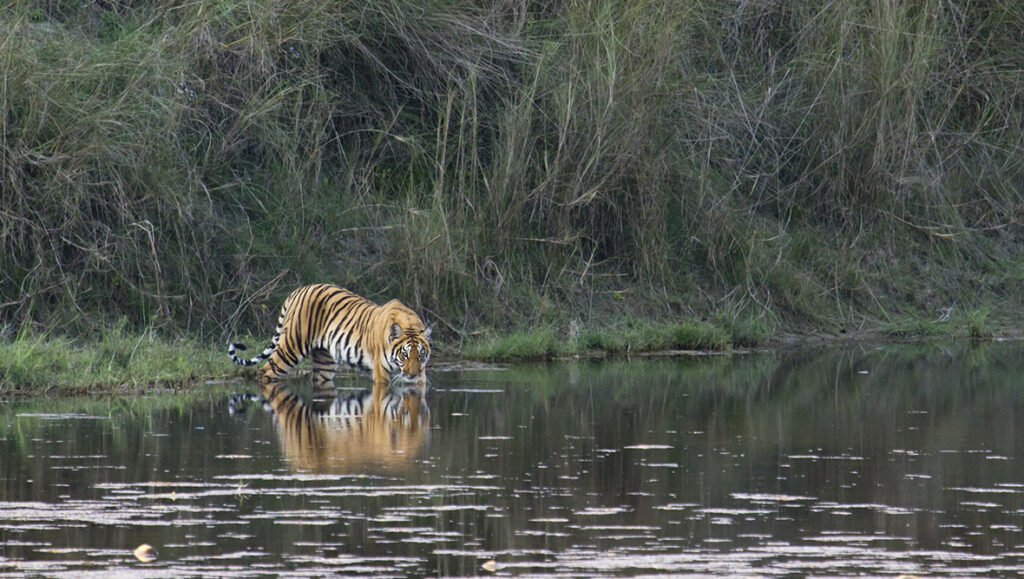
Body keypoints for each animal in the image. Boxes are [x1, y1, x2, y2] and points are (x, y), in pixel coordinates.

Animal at [228, 283, 431, 415]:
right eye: (404, 355)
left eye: (420, 355)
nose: (412, 374)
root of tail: (298, 290)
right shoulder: (381, 373)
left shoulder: (420, 375)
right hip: (291, 347)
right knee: (265, 371)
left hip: (324, 363)